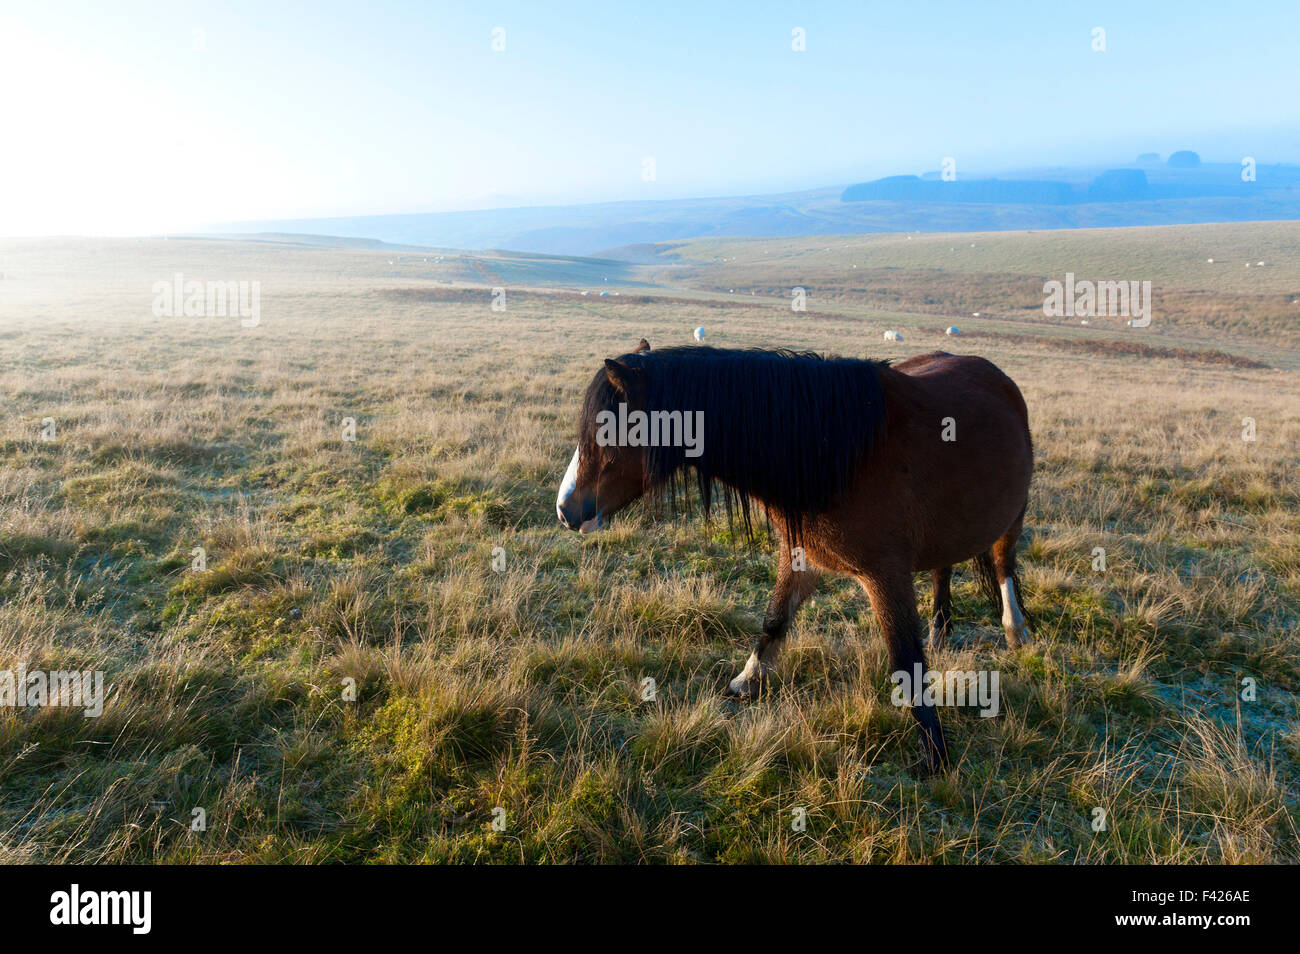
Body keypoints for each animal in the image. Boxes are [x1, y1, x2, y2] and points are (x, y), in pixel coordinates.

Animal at [555, 339, 1033, 772]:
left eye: (608, 430)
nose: (565, 510)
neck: (837, 451)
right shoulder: (801, 555)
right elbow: (775, 619)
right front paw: (747, 681)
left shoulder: (886, 575)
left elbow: (906, 658)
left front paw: (935, 755)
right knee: (942, 569)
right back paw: (941, 629)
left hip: (1012, 517)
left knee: (1003, 565)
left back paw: (1015, 632)